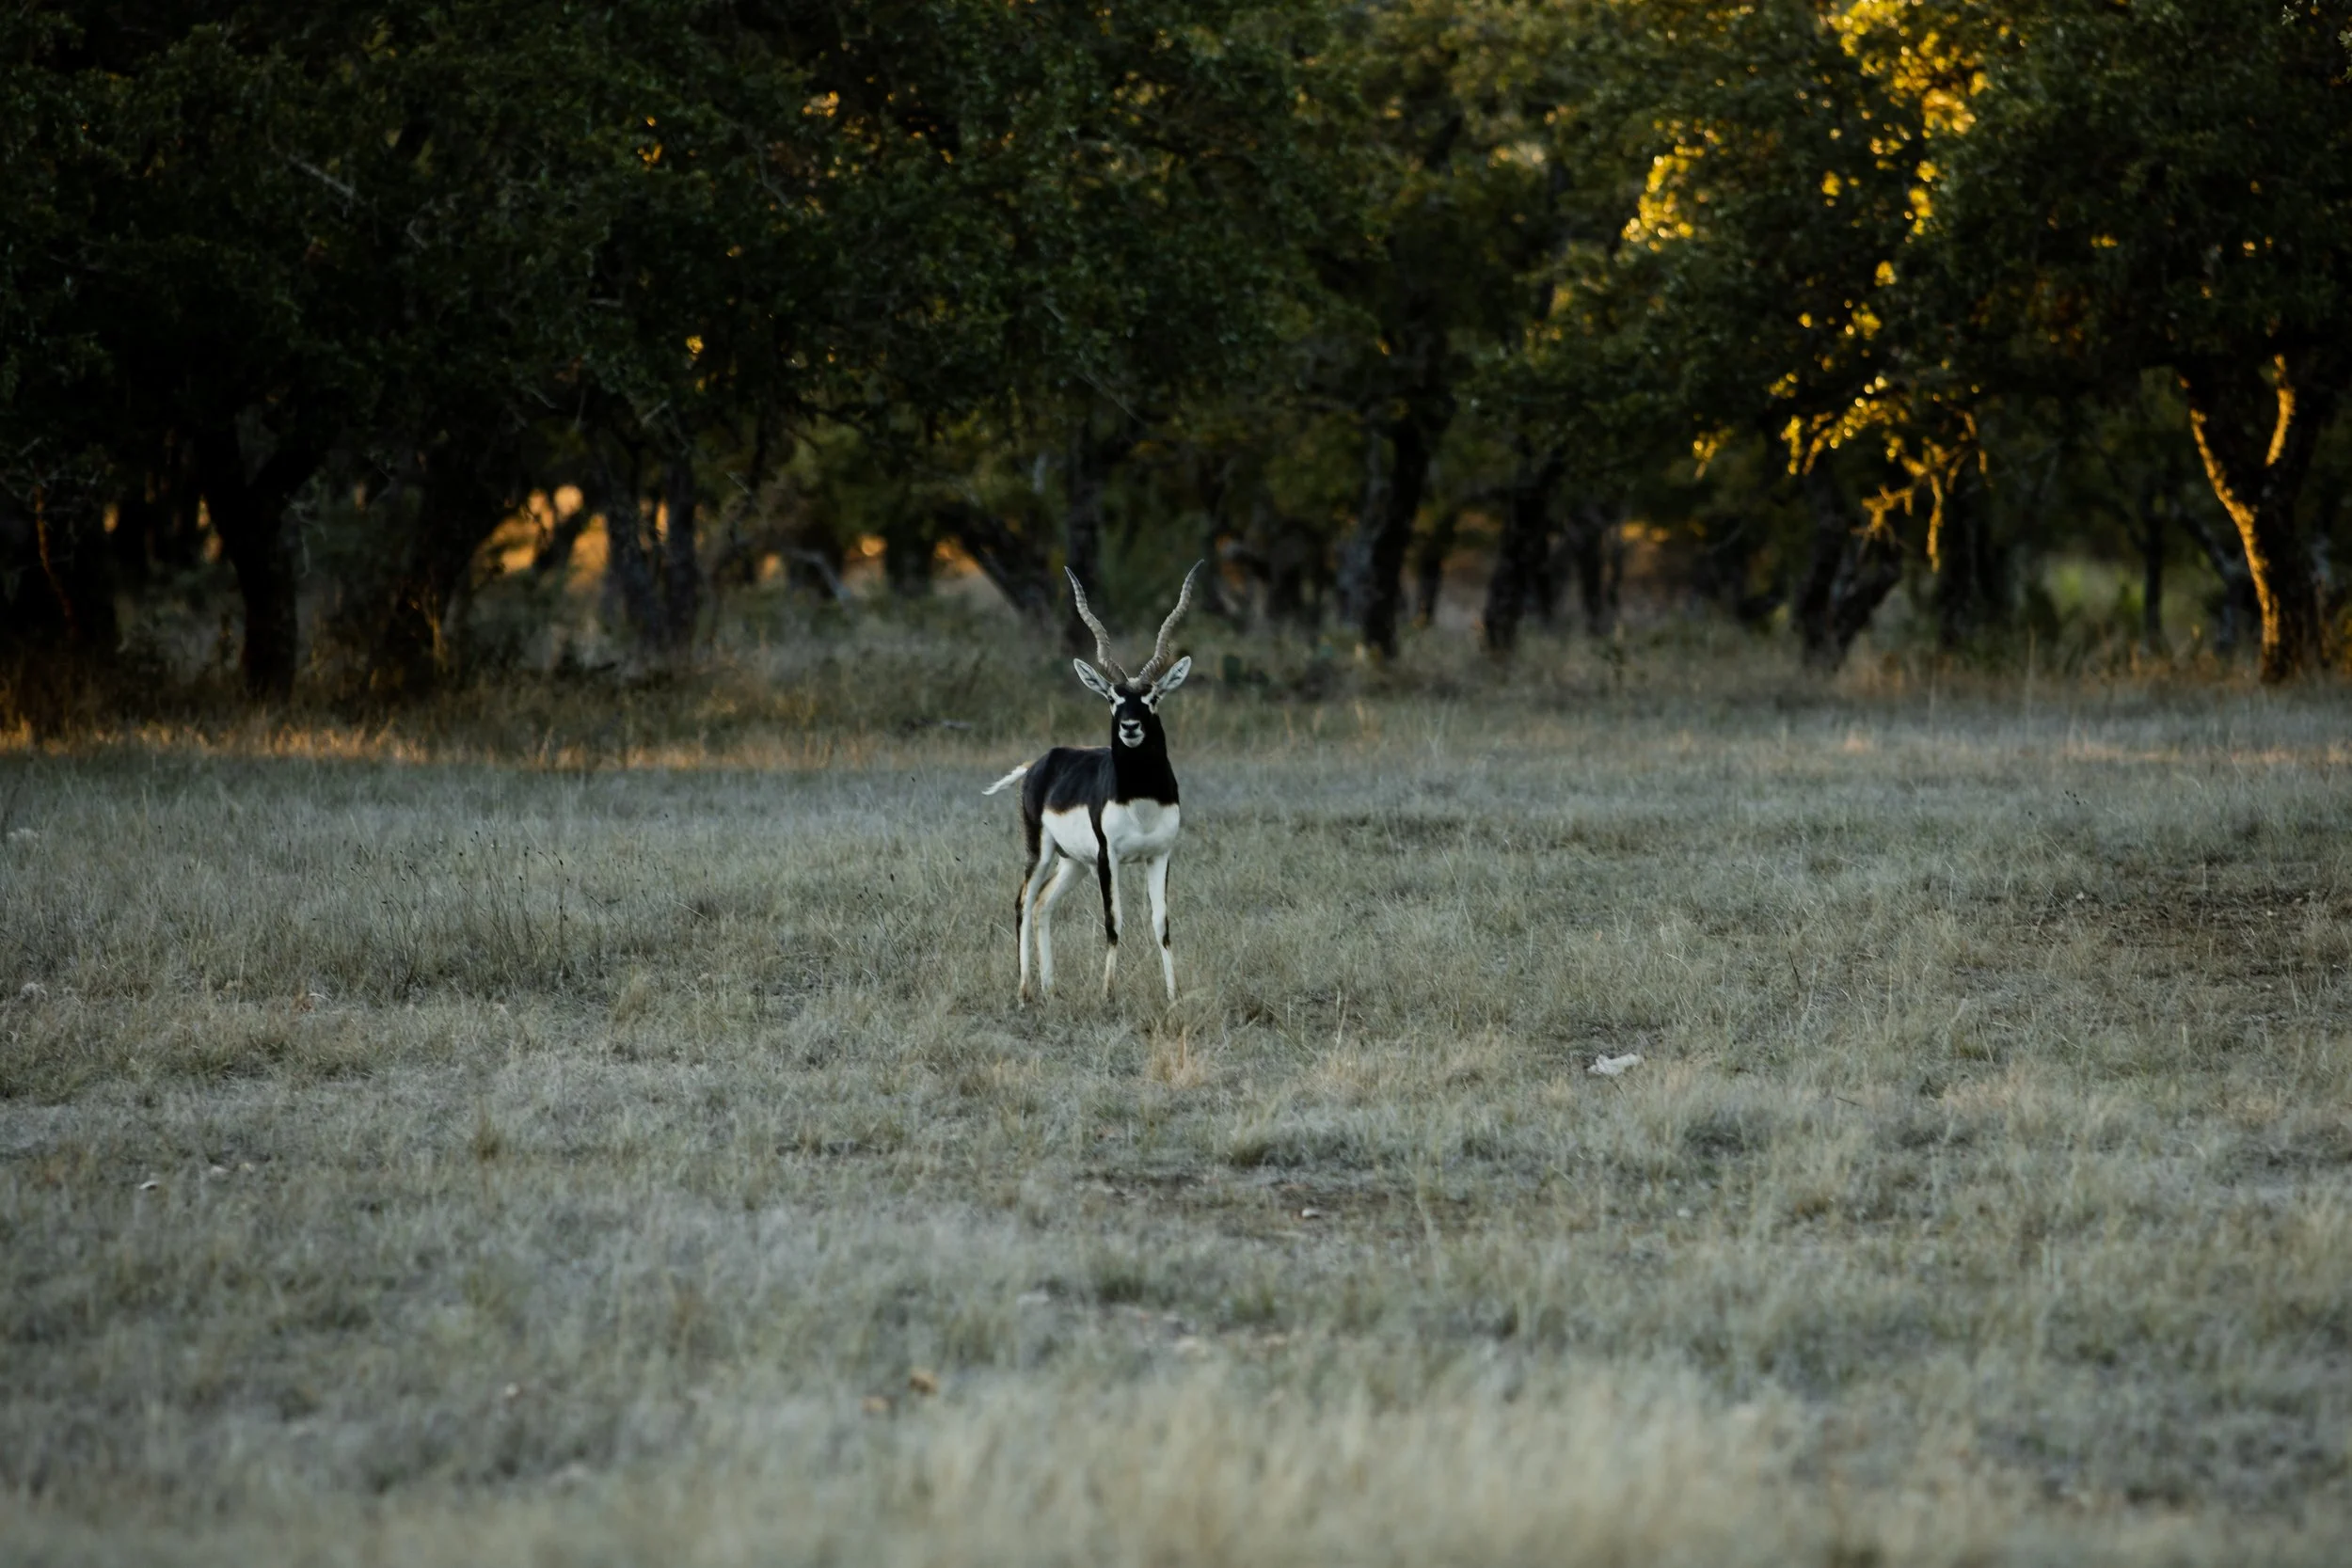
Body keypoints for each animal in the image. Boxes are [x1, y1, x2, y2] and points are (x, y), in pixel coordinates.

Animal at [984, 563, 1200, 1004]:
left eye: (1152, 697)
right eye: (1113, 699)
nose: (1131, 727)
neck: (1141, 801)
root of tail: (1039, 762)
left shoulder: (1160, 855)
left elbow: (1162, 925)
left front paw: (1173, 996)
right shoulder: (1108, 857)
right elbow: (1114, 921)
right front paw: (1107, 993)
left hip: (1072, 862)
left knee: (1044, 905)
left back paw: (1049, 988)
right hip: (1042, 852)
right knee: (1022, 903)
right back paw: (1024, 991)